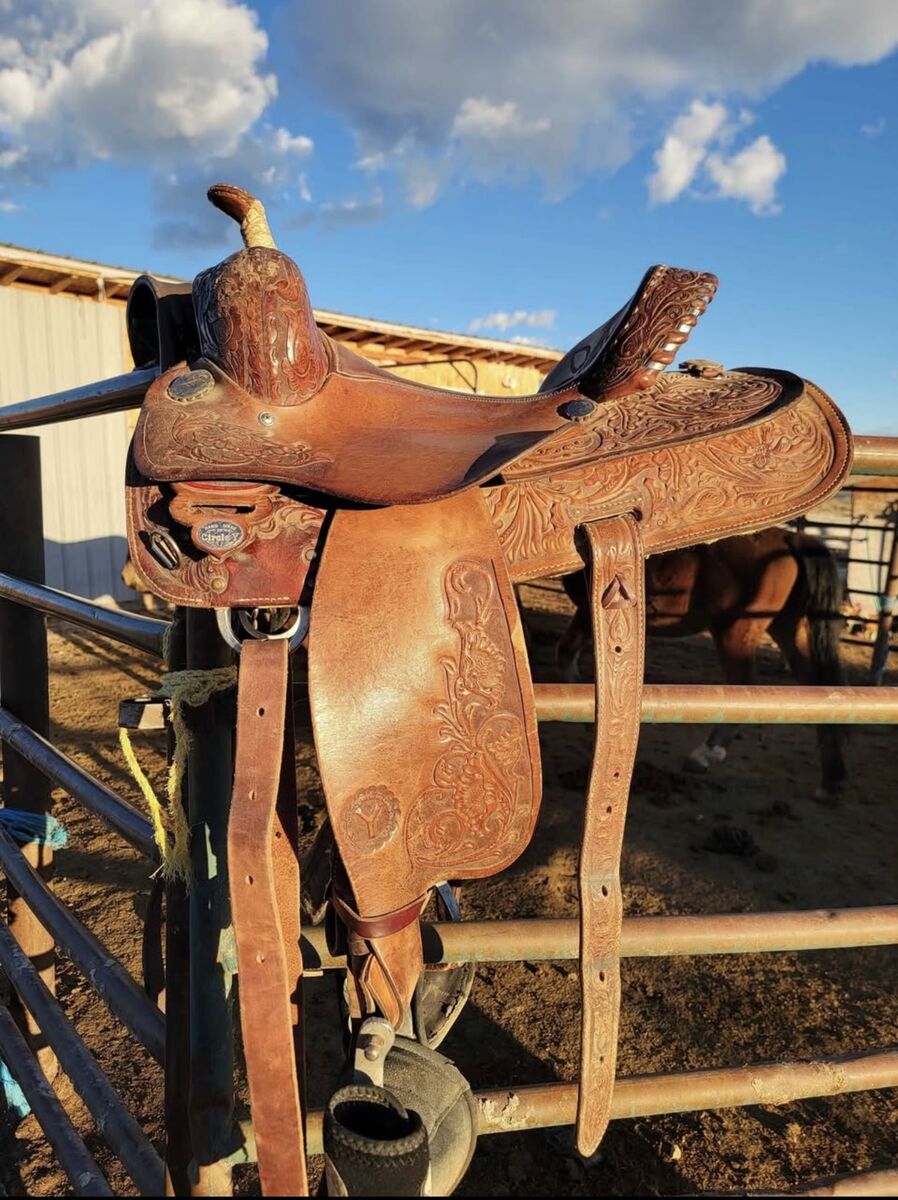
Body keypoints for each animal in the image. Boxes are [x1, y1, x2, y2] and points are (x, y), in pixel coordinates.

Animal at [556, 526, 847, 800]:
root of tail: (789, 537)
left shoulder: (587, 613)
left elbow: (566, 653)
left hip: (735, 633)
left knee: (743, 685)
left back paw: (707, 752)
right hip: (787, 630)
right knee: (820, 688)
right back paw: (831, 780)